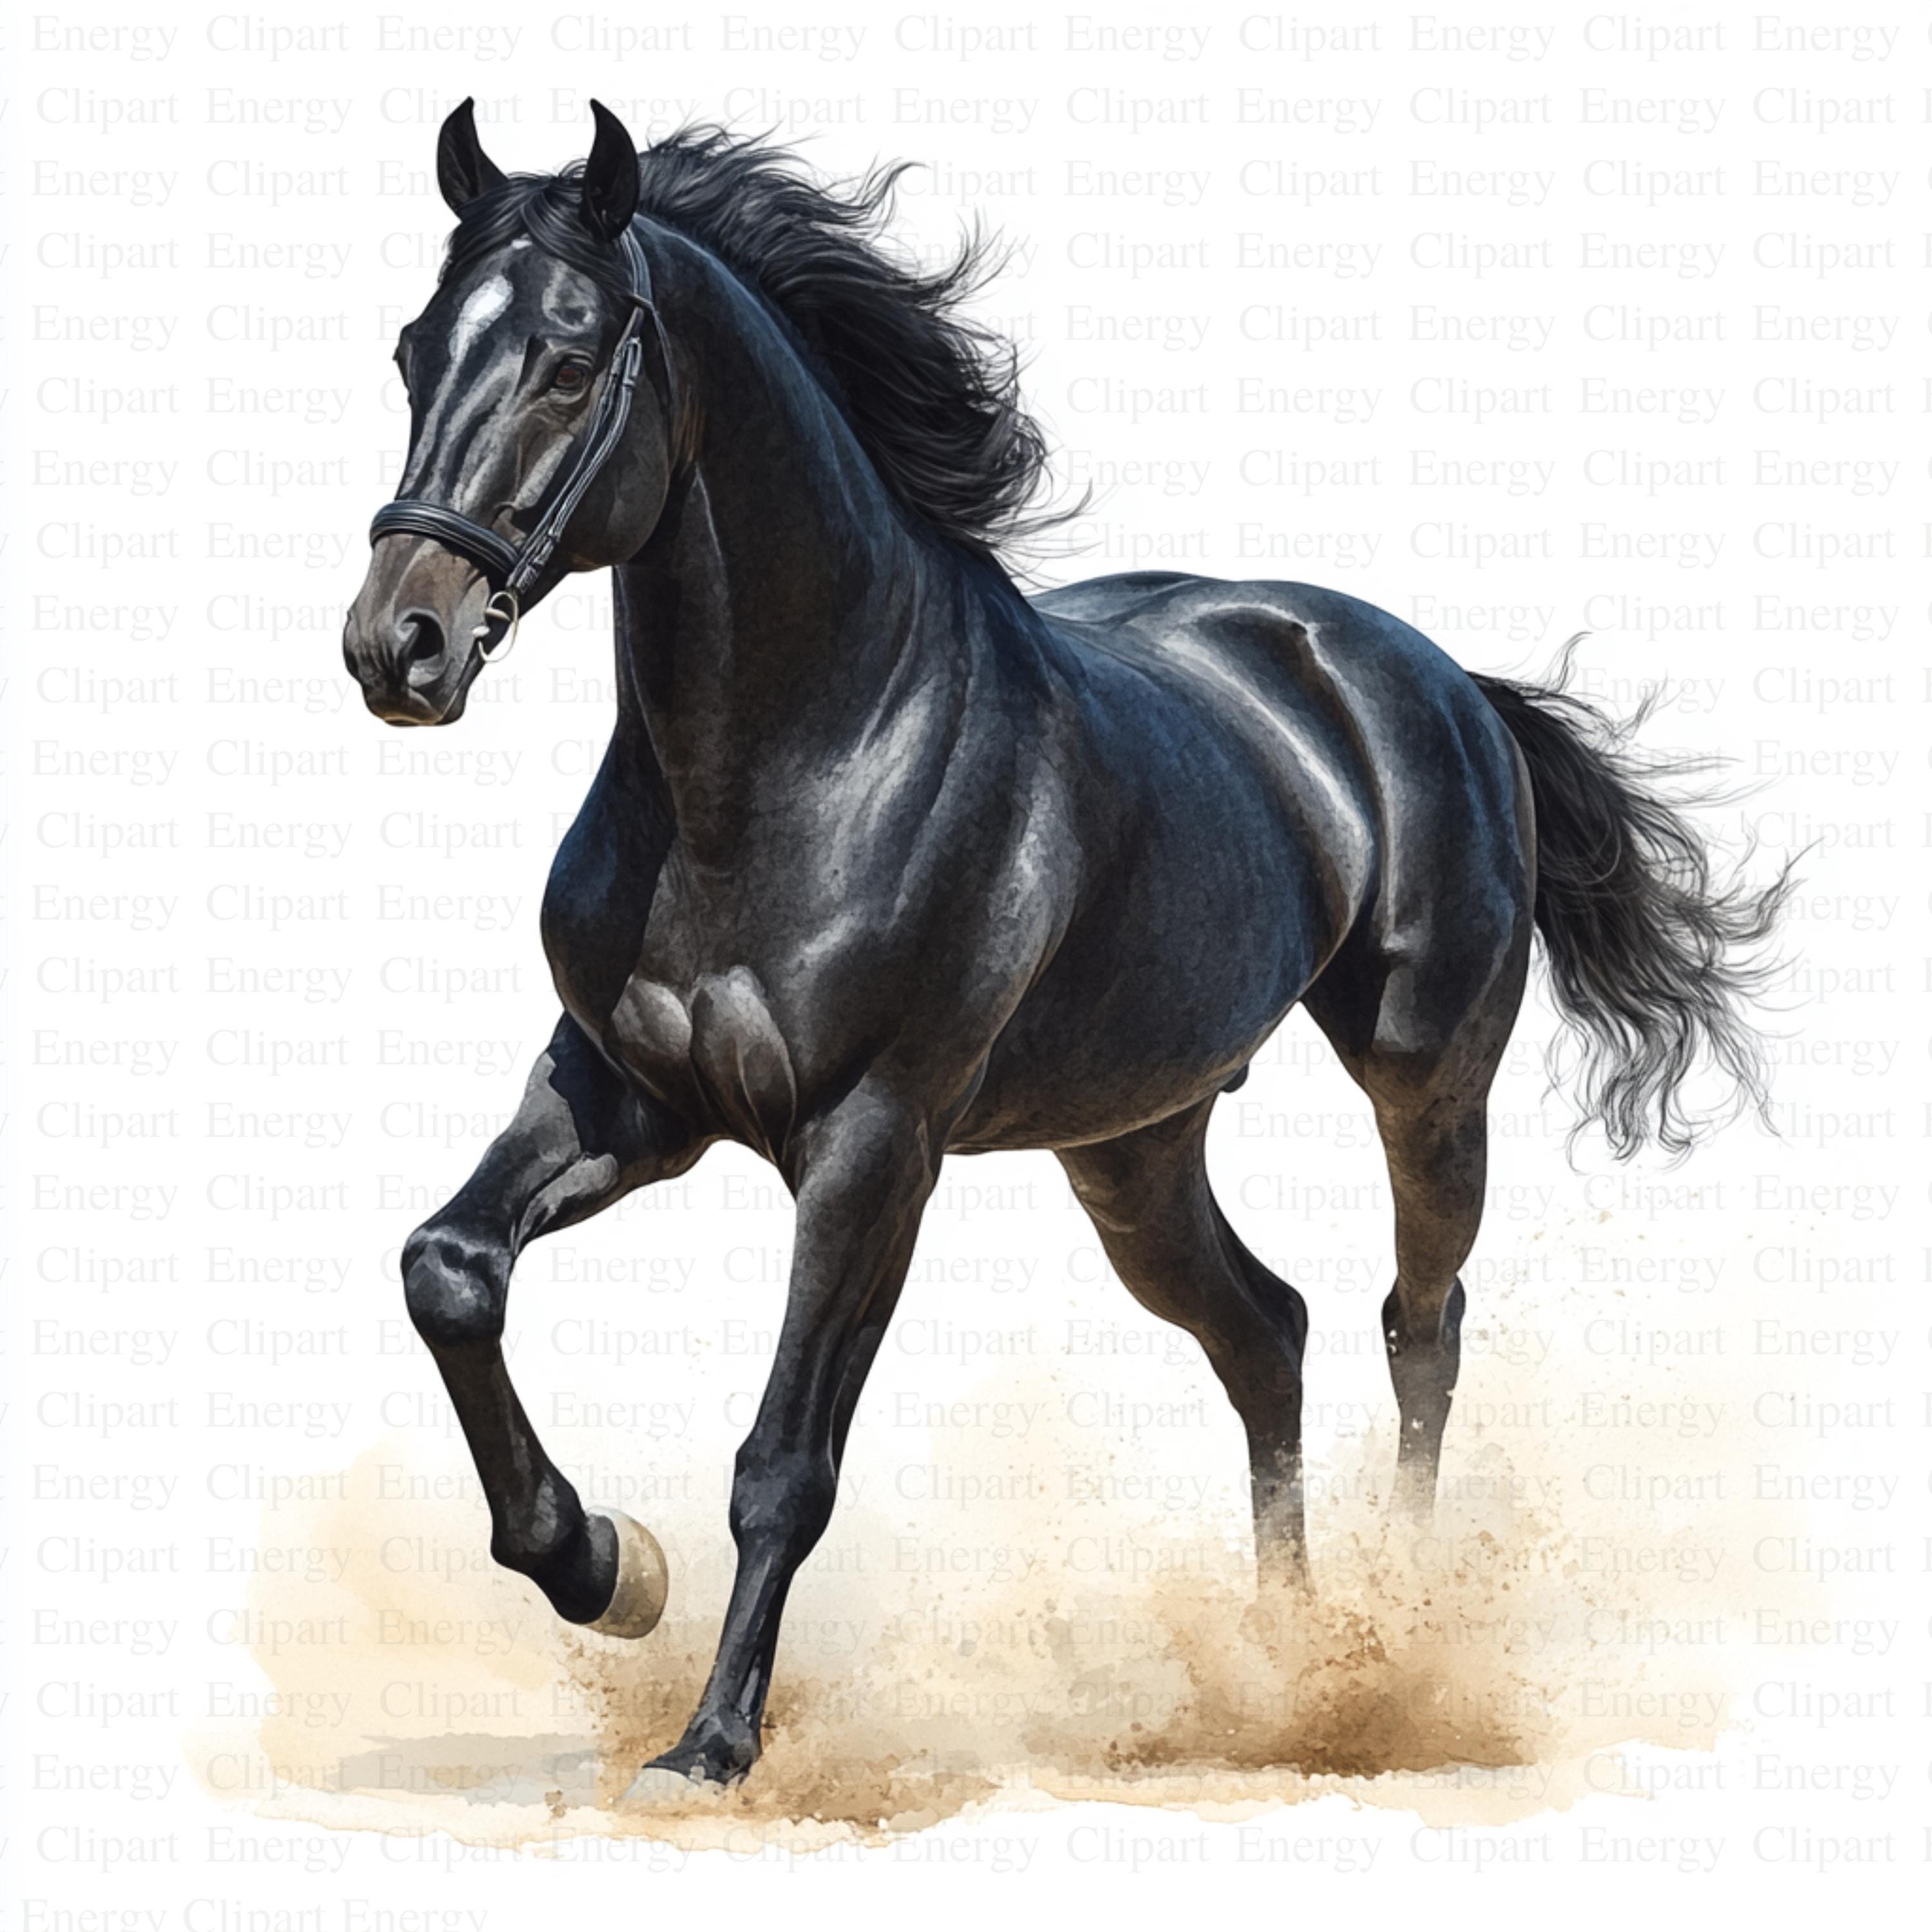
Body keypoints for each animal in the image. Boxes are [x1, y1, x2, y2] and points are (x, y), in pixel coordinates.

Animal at [341, 102, 1786, 1792]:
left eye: (570, 360)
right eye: (415, 347)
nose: (398, 646)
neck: (801, 755)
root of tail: (1441, 681)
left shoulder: (872, 1146)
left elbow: (785, 1461)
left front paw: (707, 1746)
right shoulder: (622, 1095)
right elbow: (448, 1269)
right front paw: (599, 1564)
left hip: (1426, 1087)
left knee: (1414, 1321)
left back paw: (1395, 1641)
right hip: (1134, 1148)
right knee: (1266, 1333)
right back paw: (1281, 1667)